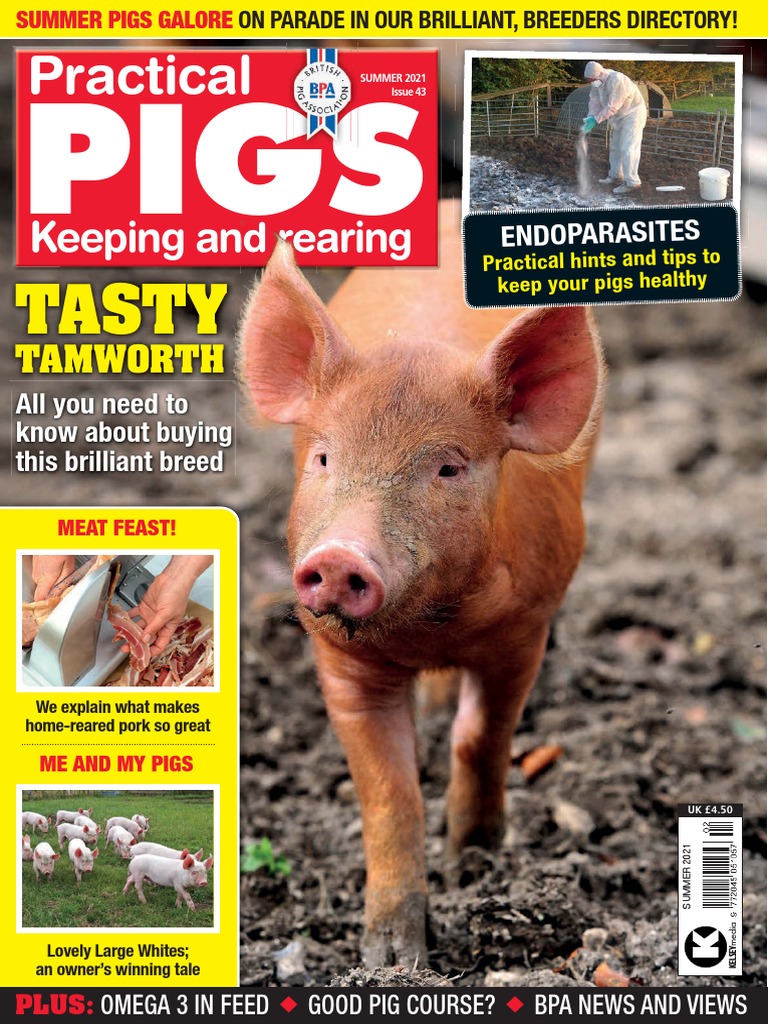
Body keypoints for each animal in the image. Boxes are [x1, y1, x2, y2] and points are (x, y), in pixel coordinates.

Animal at [239, 200, 604, 967]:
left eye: (448, 467)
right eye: (324, 457)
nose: (342, 557)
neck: (430, 628)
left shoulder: (527, 627)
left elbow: (483, 736)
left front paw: (476, 860)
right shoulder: (340, 658)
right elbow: (389, 795)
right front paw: (390, 961)